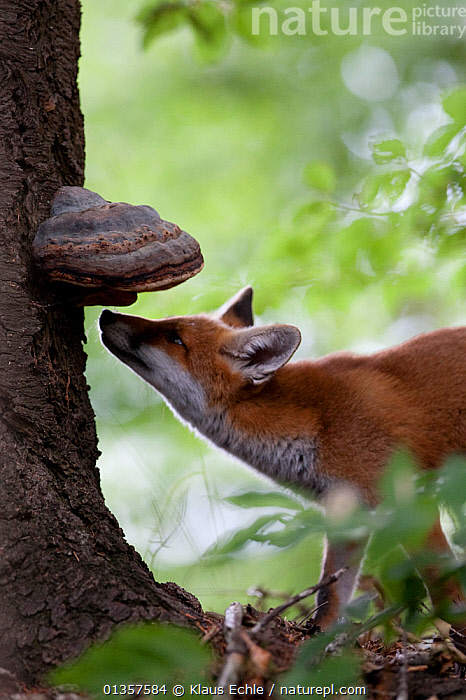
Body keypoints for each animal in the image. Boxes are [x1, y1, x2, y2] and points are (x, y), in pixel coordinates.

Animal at [99, 286, 466, 651]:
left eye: (175, 337)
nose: (106, 314)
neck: (315, 422)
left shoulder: (409, 503)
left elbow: (442, 584)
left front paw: (457, 634)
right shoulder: (348, 514)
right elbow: (330, 594)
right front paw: (319, 637)